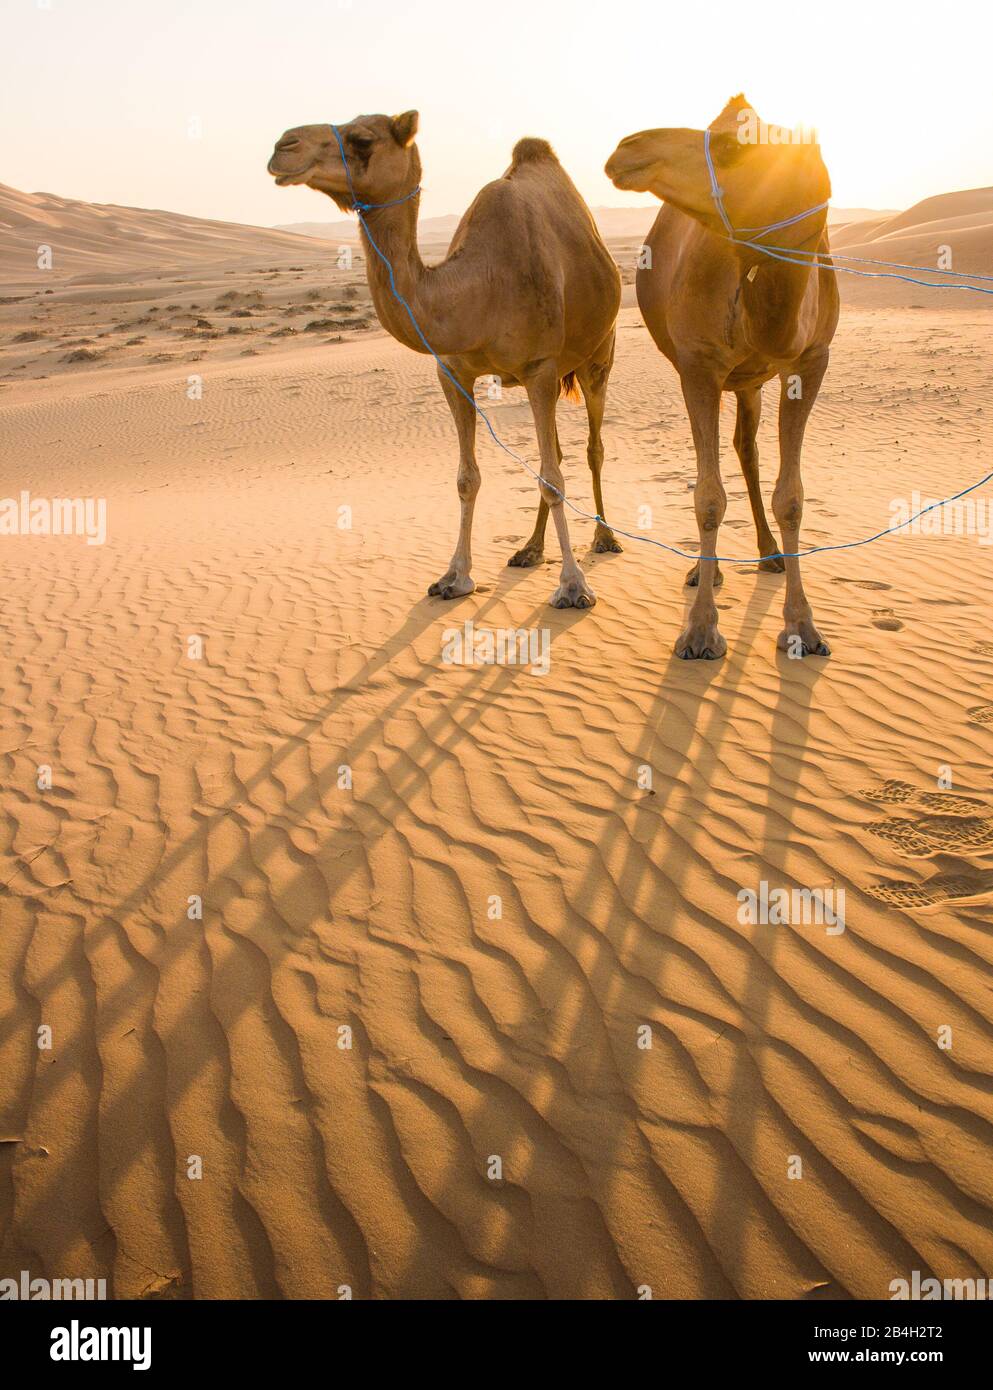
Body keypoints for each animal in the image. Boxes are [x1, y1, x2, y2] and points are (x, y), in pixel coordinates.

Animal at [268, 111, 622, 608]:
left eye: (362, 139)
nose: (283, 146)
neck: (482, 286)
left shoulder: (539, 367)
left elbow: (552, 477)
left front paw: (573, 586)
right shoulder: (453, 372)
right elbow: (468, 478)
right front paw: (454, 577)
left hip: (596, 357)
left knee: (593, 447)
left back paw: (605, 538)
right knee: (553, 451)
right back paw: (530, 549)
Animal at [606, 95, 839, 659]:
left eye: (734, 147)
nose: (628, 147)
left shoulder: (812, 360)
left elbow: (792, 497)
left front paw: (803, 627)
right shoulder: (698, 365)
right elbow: (707, 496)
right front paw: (700, 631)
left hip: (752, 381)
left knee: (746, 447)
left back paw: (769, 552)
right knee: (715, 459)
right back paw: (704, 572)